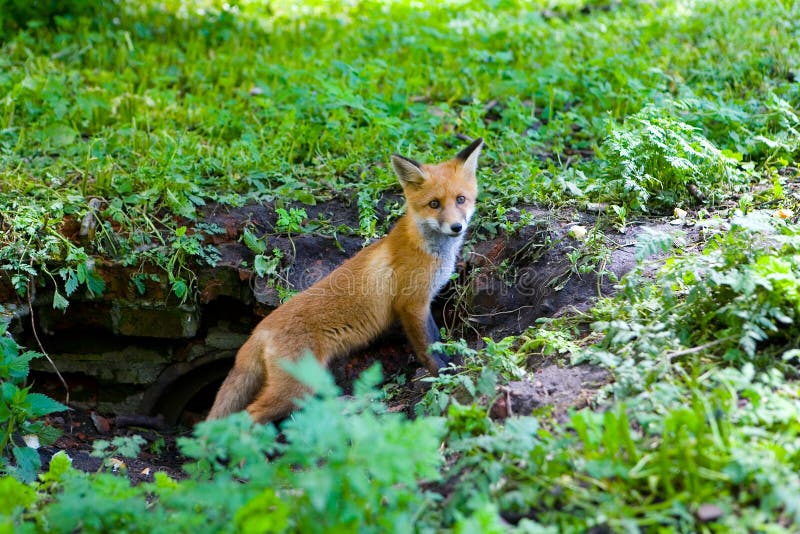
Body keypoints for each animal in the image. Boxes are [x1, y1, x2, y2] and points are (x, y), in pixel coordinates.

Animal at [207, 138, 484, 422]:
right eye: (434, 204)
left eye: (461, 199)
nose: (456, 227)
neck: (428, 248)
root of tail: (259, 330)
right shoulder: (412, 304)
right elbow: (428, 347)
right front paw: (444, 374)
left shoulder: (420, 303)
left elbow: (437, 339)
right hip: (295, 387)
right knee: (250, 415)